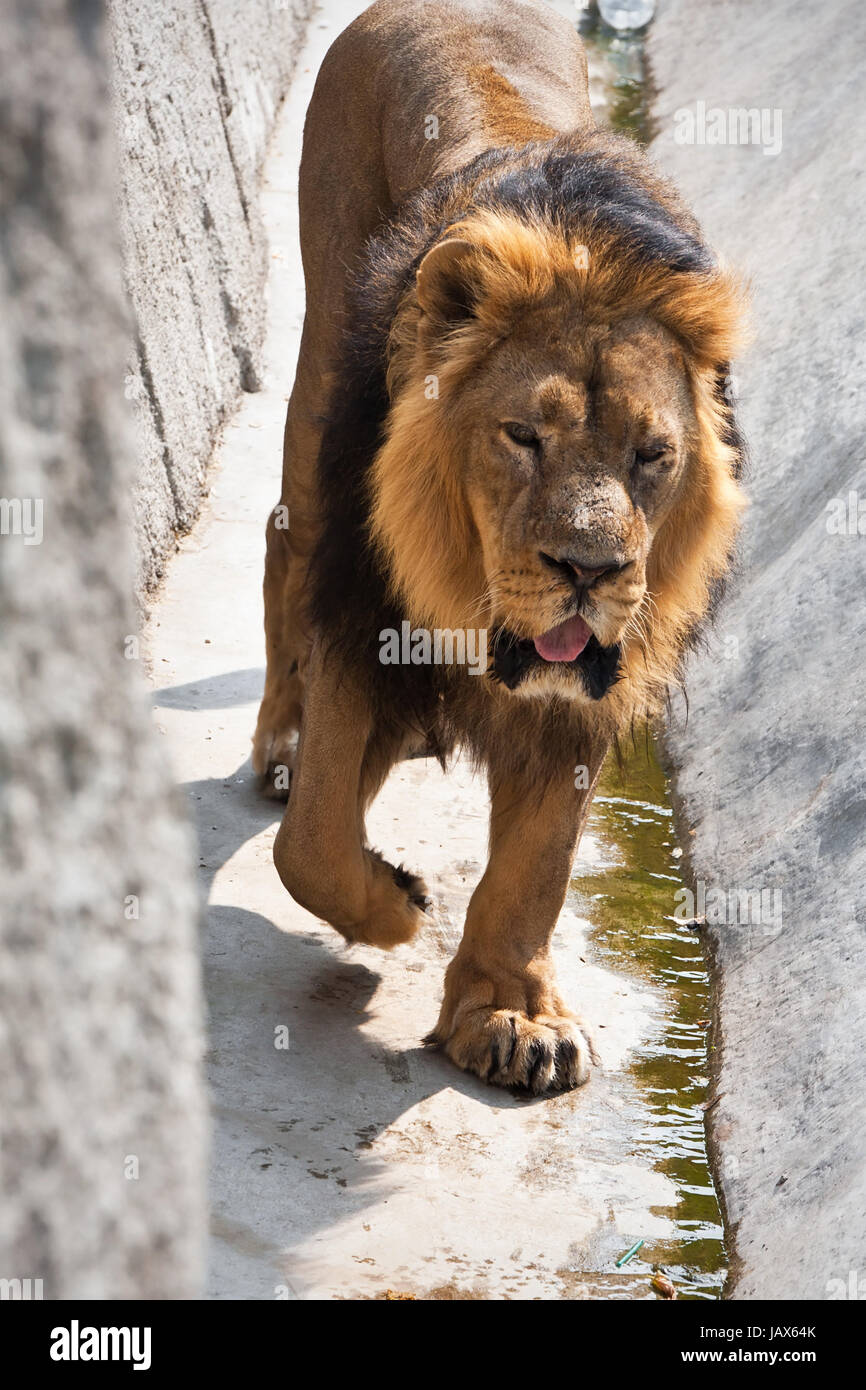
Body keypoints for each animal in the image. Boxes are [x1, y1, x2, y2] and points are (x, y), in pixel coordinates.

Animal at [253, 0, 746, 1094]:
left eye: (651, 455)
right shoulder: (363, 608)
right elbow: (312, 843)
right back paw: (279, 745)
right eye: (523, 437)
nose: (590, 572)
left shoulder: (585, 693)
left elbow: (535, 866)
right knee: (280, 548)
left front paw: (509, 1014)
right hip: (317, 372)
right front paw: (393, 905)